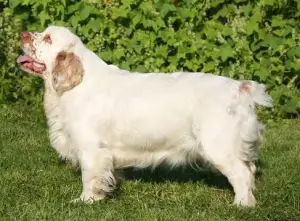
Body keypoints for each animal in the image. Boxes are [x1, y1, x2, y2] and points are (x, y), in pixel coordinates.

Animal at [17, 26, 274, 207]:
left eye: (48, 39)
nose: (23, 34)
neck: (75, 85)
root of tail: (239, 88)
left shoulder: (90, 148)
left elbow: (89, 177)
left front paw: (85, 201)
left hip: (219, 147)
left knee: (241, 174)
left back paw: (241, 205)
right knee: (250, 170)